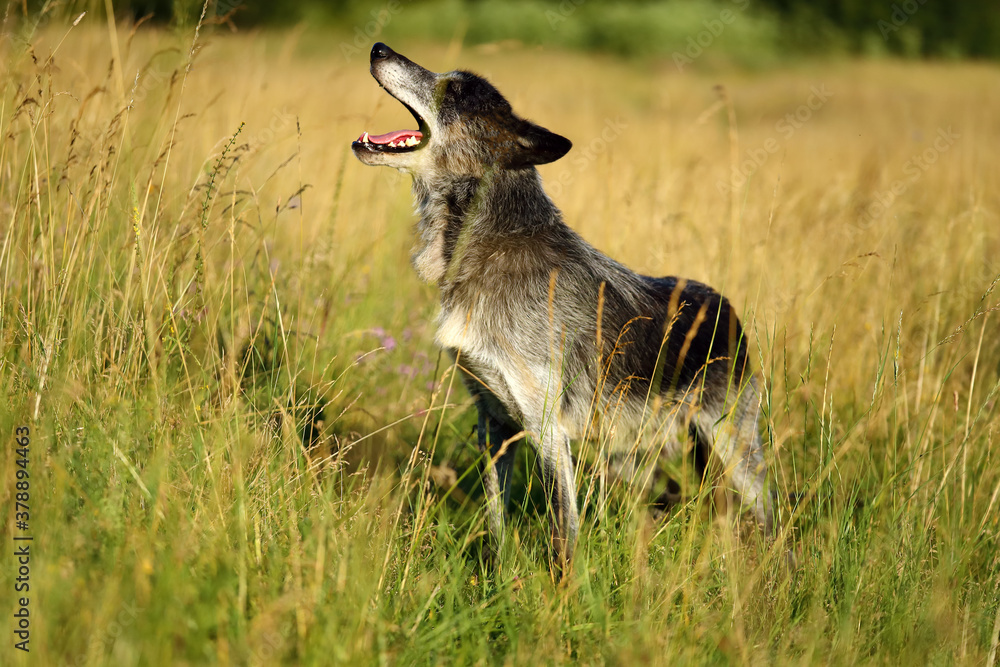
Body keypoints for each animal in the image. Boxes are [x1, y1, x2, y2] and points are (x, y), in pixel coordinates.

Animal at [352, 42, 779, 568]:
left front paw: (560, 588)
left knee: (773, 519)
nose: (379, 48)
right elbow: (496, 520)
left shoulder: (546, 429)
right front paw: (499, 577)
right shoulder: (494, 424)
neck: (485, 242)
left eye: (453, 91)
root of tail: (728, 309)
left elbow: (563, 532)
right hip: (636, 456)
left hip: (734, 449)